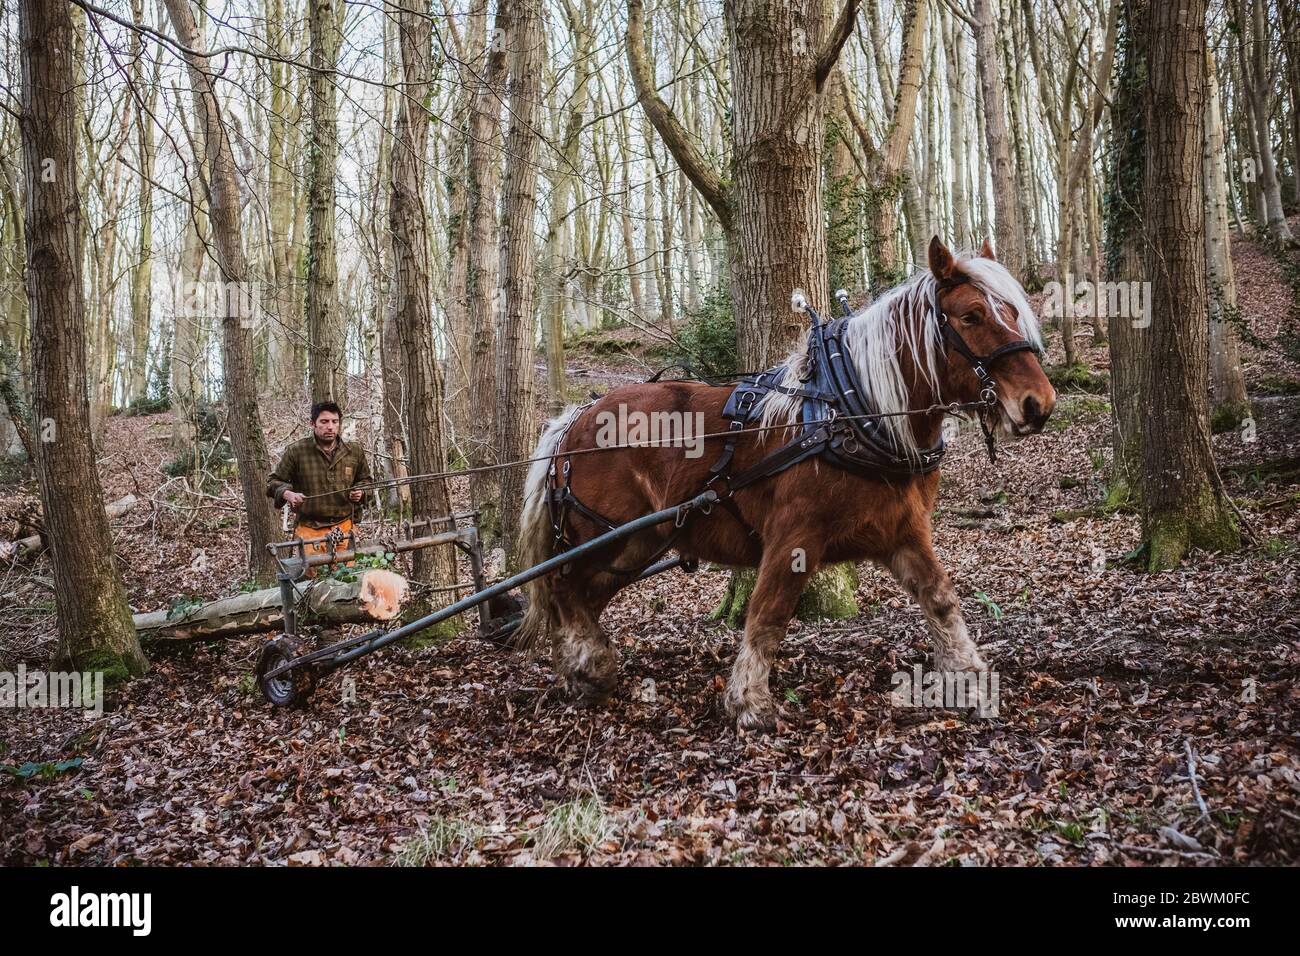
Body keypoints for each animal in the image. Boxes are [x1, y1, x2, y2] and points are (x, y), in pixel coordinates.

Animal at [513, 237, 1056, 732]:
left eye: (1013, 310)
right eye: (971, 316)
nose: (1038, 404)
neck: (851, 411)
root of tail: (576, 418)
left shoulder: (904, 530)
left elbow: (941, 599)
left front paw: (971, 680)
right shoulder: (795, 536)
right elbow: (769, 613)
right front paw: (749, 702)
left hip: (636, 544)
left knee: (582, 595)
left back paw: (579, 666)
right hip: (606, 535)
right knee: (563, 587)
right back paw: (592, 667)